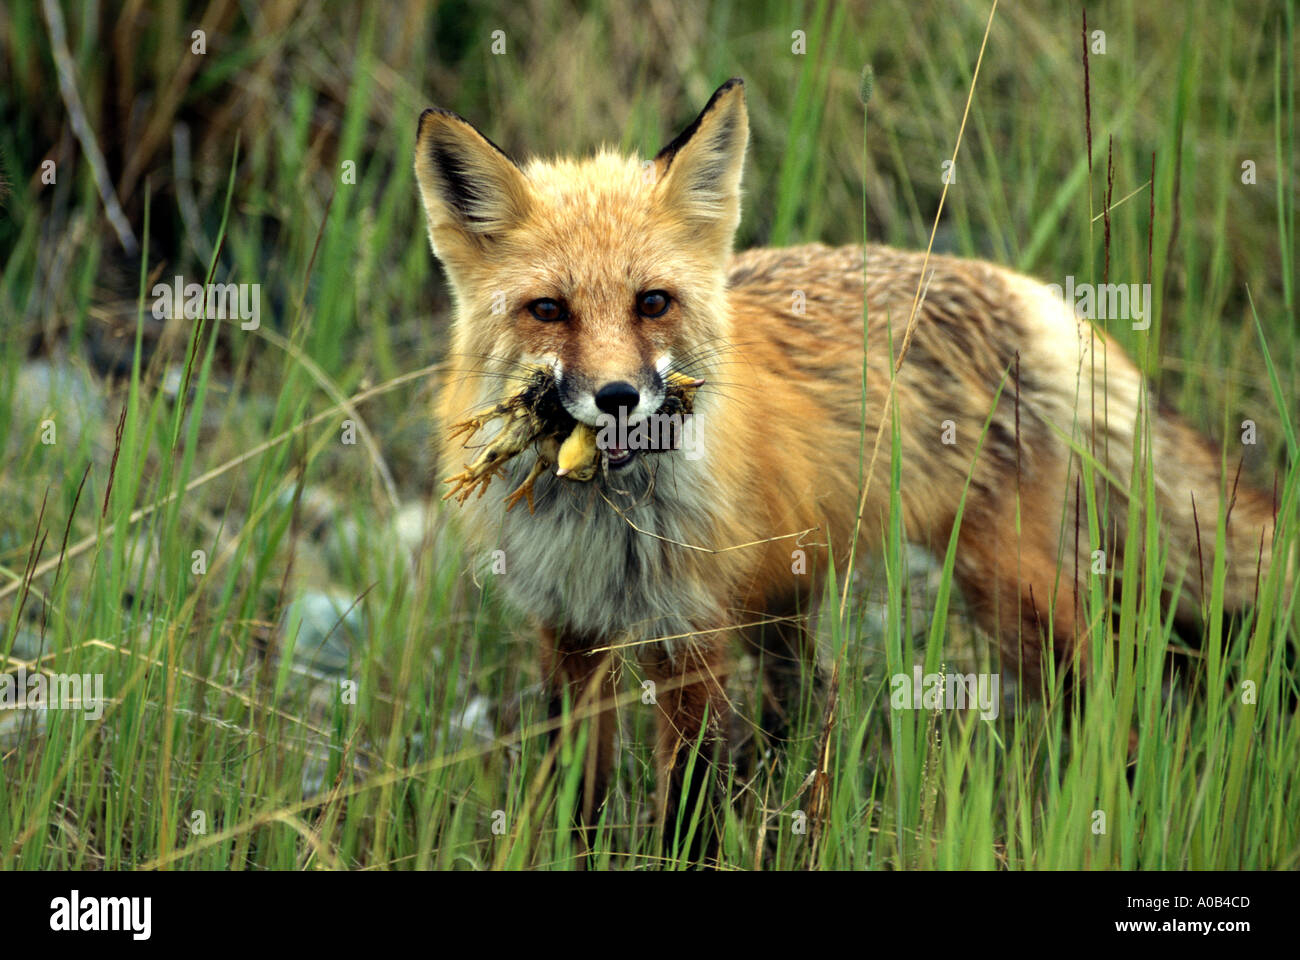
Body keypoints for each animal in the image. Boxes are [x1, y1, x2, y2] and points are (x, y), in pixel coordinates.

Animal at [413, 78, 1284, 844]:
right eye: (549, 310)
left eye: (652, 302)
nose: (620, 396)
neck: (602, 523)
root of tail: (1028, 292)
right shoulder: (570, 631)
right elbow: (574, 804)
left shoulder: (690, 632)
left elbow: (687, 810)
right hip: (790, 602)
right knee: (807, 706)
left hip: (1010, 593)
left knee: (1119, 705)